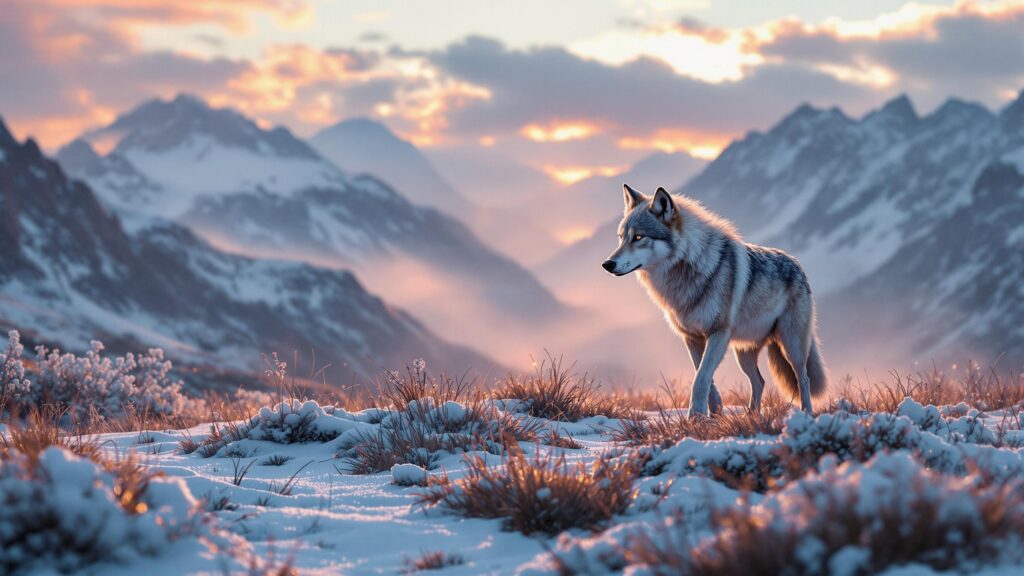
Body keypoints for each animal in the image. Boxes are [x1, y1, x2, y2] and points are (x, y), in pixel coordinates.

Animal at [602, 184, 827, 416]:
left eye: (638, 237)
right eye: (621, 237)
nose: (607, 264)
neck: (686, 271)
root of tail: (797, 264)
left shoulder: (718, 333)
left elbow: (701, 377)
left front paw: (695, 415)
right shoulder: (691, 338)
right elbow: (703, 375)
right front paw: (714, 411)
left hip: (792, 346)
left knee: (803, 378)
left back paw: (806, 412)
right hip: (744, 353)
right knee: (759, 381)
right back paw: (751, 415)